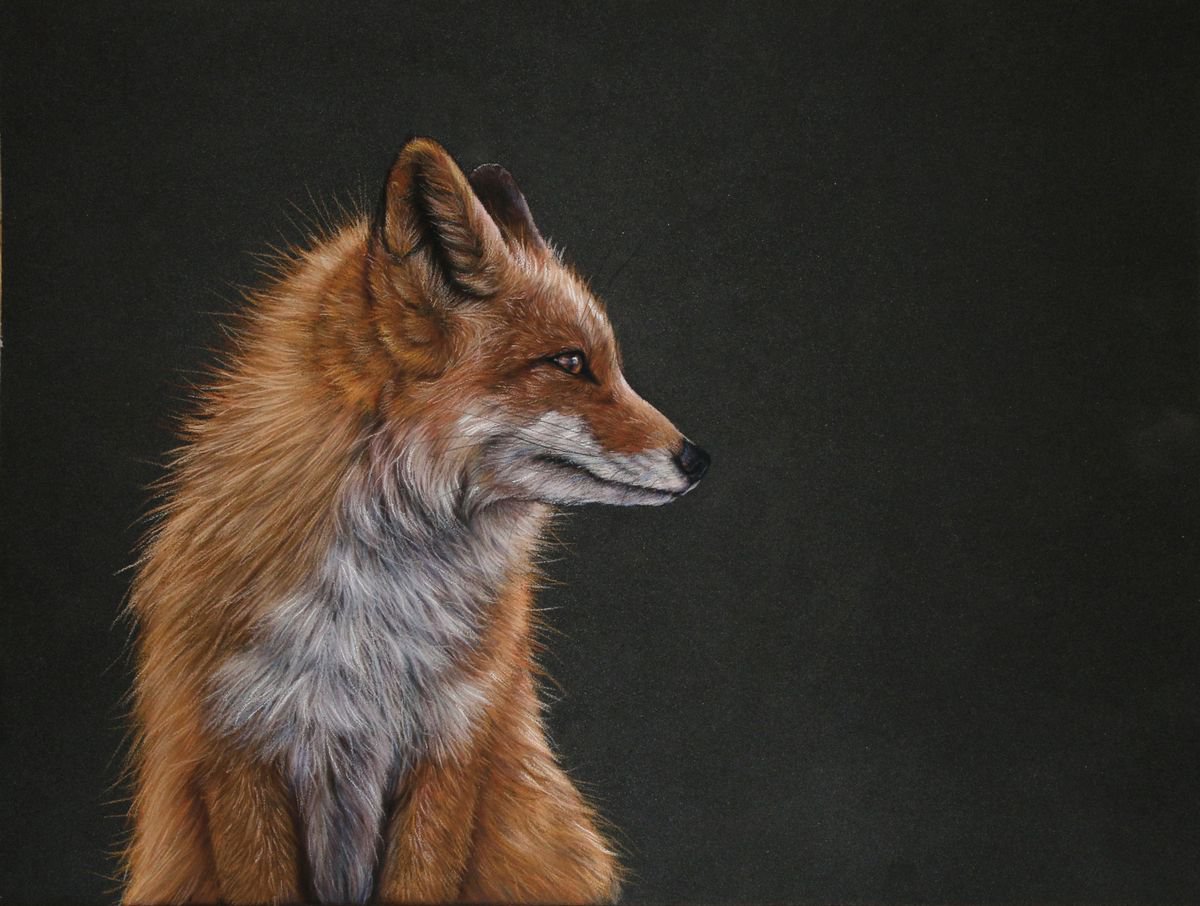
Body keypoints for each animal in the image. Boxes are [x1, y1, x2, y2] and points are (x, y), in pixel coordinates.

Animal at [121, 136, 709, 905]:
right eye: (570, 362)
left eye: (605, 364)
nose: (697, 458)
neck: (372, 619)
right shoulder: (236, 751)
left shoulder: (452, 745)